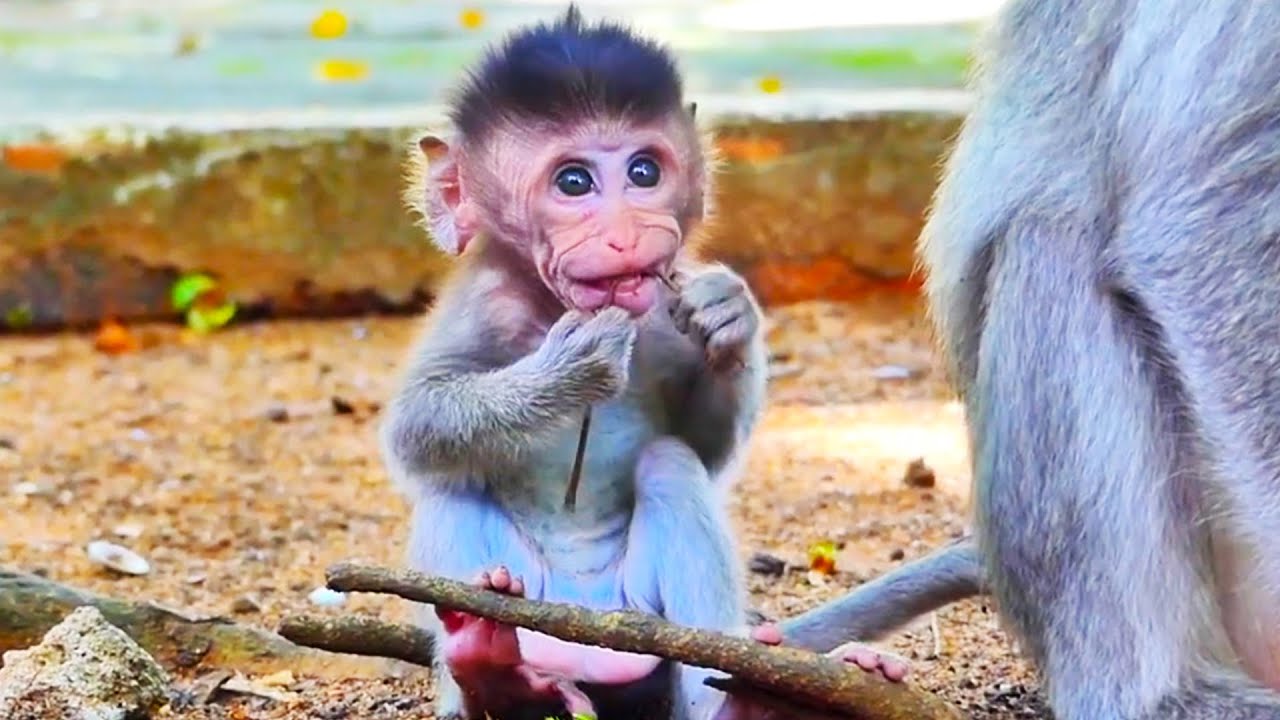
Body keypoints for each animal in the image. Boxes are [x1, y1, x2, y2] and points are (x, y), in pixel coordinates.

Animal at [378, 6, 925, 719]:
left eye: (644, 172)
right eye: (574, 182)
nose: (628, 232)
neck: (550, 302)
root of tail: (583, 636)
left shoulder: (666, 314)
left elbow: (701, 444)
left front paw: (729, 314)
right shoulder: (480, 306)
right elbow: (415, 425)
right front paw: (571, 368)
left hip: (643, 624)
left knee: (668, 464)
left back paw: (749, 698)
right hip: (529, 599)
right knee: (450, 479)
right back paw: (487, 663)